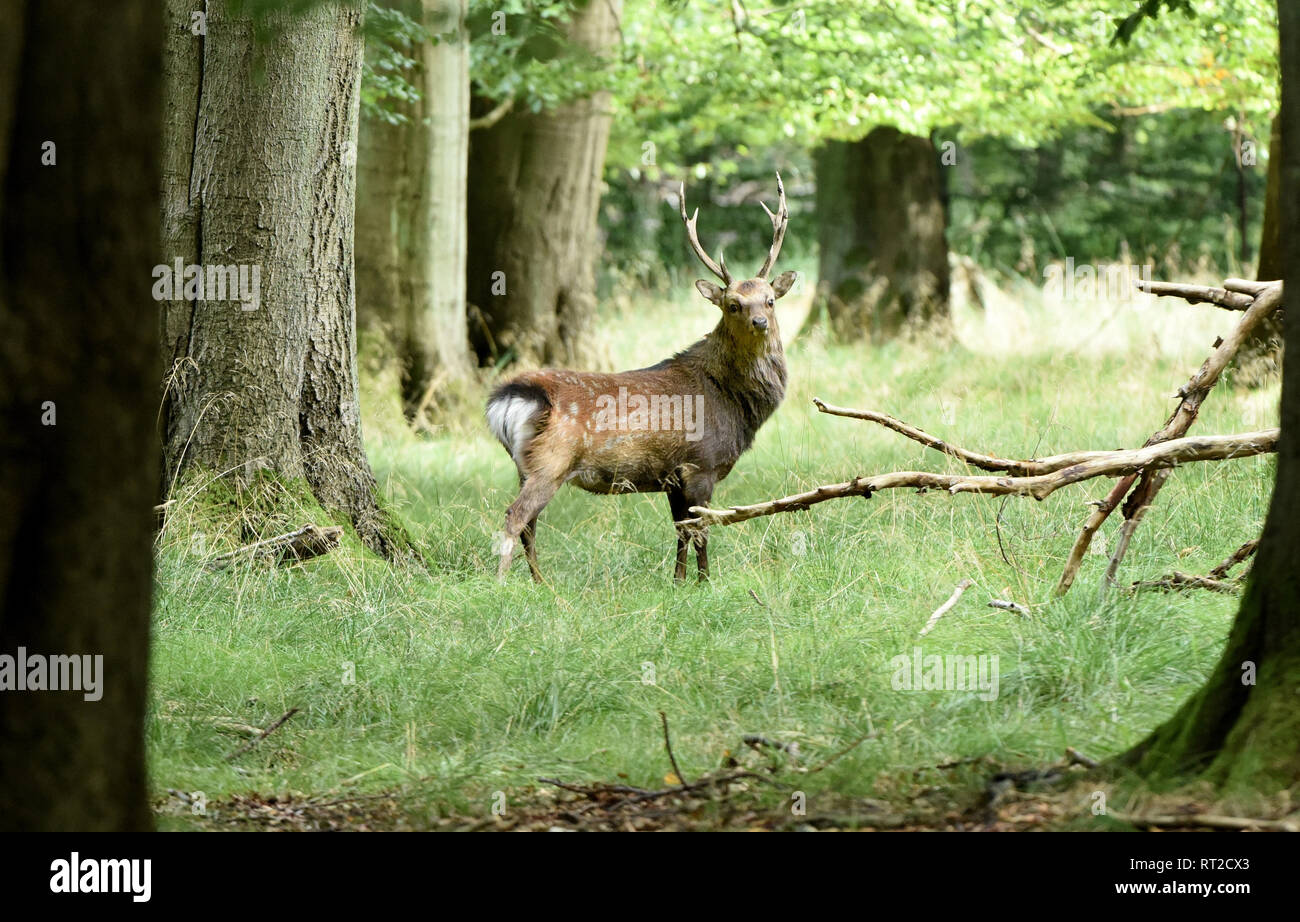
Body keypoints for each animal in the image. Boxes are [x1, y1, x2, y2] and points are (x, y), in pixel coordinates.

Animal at [486, 173, 796, 583]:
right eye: (733, 305)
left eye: (770, 300)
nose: (759, 321)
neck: (732, 403)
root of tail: (511, 396)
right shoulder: (701, 464)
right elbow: (701, 530)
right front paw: (706, 582)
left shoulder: (674, 476)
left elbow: (681, 530)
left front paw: (678, 582)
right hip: (551, 461)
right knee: (515, 516)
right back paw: (504, 582)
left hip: (524, 465)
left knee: (529, 525)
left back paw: (540, 583)